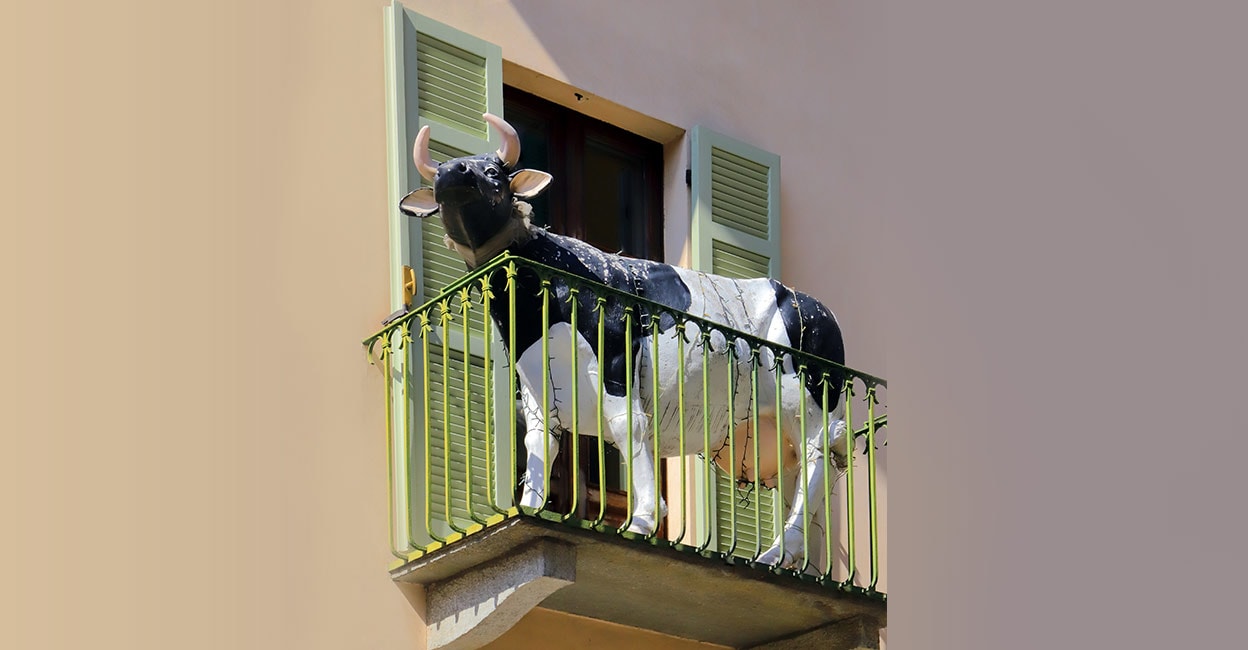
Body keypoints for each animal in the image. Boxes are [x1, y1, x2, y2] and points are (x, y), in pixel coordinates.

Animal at [399, 113, 850, 568]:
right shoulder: (537, 383)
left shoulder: (615, 361)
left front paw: (643, 520)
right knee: (804, 480)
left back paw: (779, 550)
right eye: (438, 176)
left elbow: (627, 427)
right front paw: (529, 507)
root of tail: (816, 307)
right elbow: (539, 440)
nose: (452, 172)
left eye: (493, 173)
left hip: (805, 400)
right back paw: (796, 559)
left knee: (817, 458)